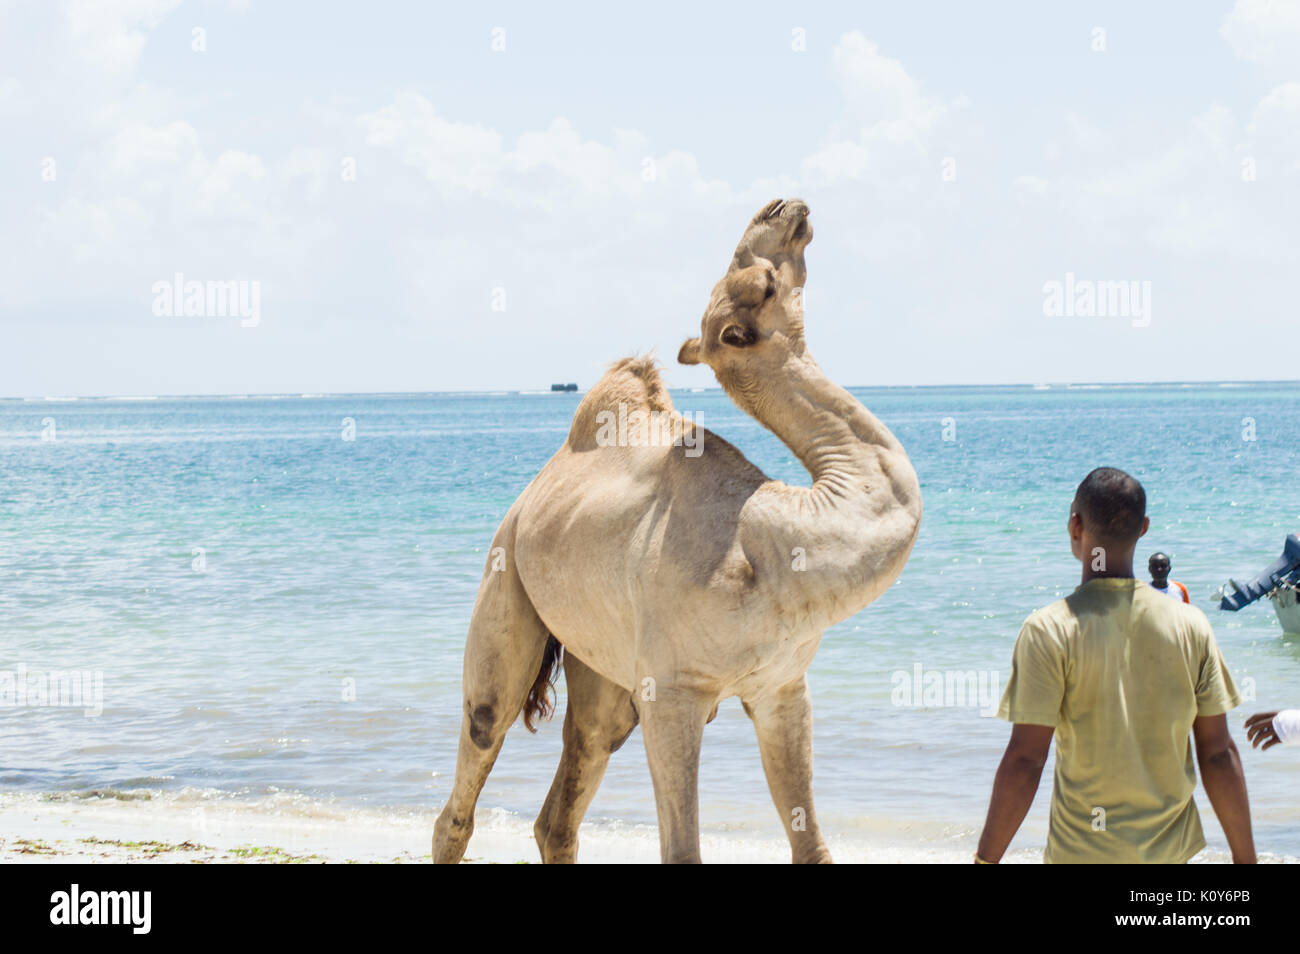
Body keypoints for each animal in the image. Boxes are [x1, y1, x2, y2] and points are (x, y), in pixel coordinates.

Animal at [433, 199, 922, 864]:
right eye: (762, 282)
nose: (782, 206)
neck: (773, 550)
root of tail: (532, 490)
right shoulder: (671, 693)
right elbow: (683, 849)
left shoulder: (782, 686)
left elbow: (813, 847)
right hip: (504, 572)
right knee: (480, 736)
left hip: (604, 671)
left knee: (572, 782)